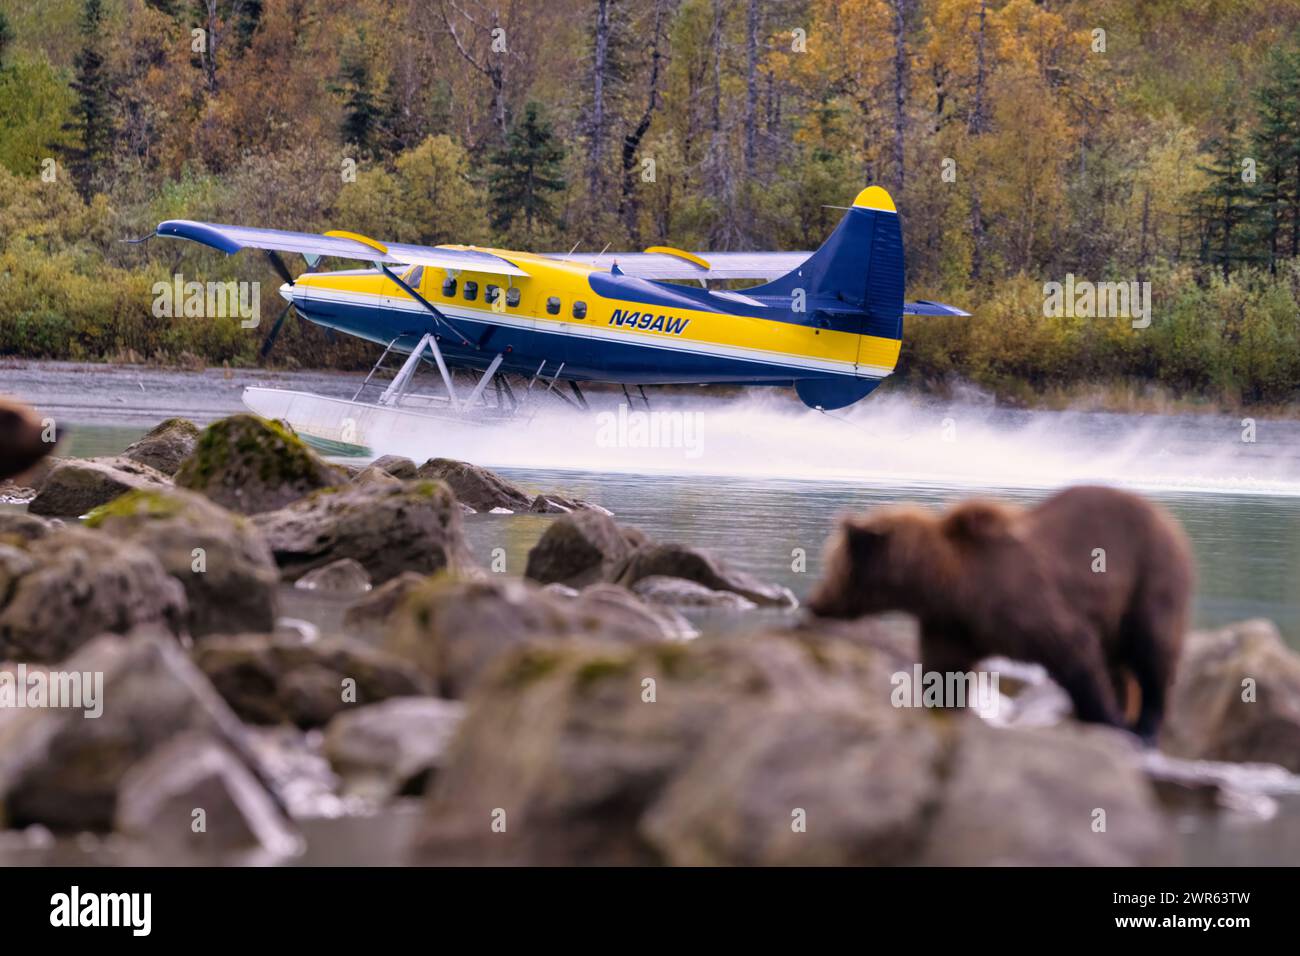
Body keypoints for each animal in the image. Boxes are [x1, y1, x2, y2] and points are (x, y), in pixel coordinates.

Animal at [807, 485, 1194, 741]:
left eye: (831, 564)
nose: (814, 603)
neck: (950, 585)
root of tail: (1167, 517)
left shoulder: (1024, 601)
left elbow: (1073, 650)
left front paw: (1109, 720)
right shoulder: (952, 625)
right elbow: (944, 672)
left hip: (1148, 574)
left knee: (1152, 649)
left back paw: (1144, 726)